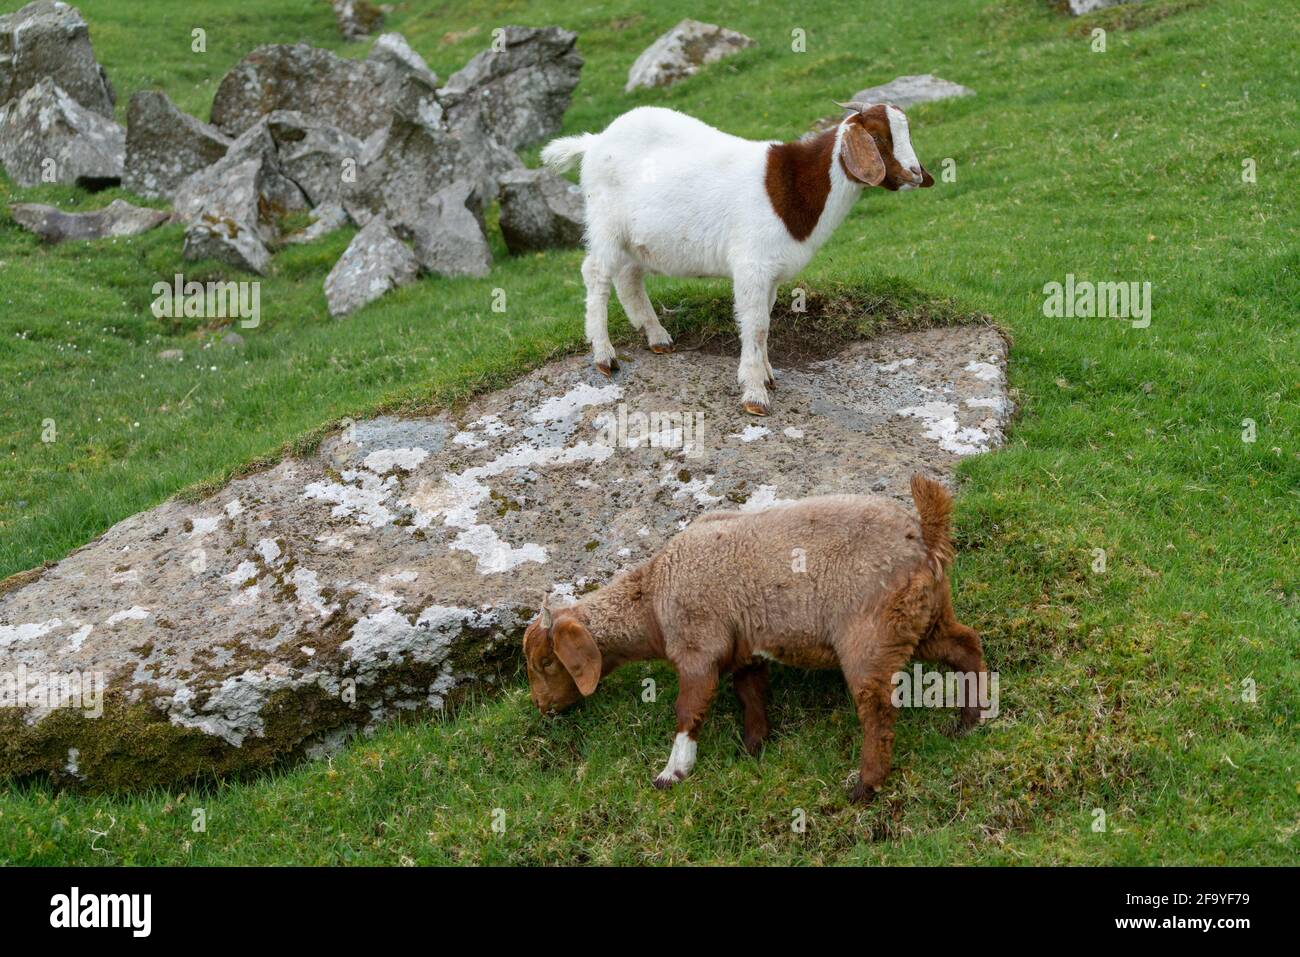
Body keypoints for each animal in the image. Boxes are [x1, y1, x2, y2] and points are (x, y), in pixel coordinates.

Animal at [522, 474, 988, 803]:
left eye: (546, 662)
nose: (543, 707)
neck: (652, 598)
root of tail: (924, 535)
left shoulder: (698, 646)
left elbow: (688, 708)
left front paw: (672, 773)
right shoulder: (743, 649)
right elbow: (750, 696)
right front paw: (752, 747)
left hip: (869, 633)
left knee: (877, 711)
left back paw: (864, 786)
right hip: (922, 619)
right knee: (965, 644)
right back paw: (970, 719)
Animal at [540, 103, 934, 416]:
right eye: (879, 138)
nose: (916, 173)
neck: (795, 188)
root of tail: (595, 141)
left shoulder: (771, 271)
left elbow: (765, 323)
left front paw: (767, 374)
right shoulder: (751, 265)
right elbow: (755, 325)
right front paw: (755, 394)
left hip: (633, 237)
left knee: (628, 277)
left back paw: (657, 337)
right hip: (604, 221)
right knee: (596, 273)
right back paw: (604, 356)